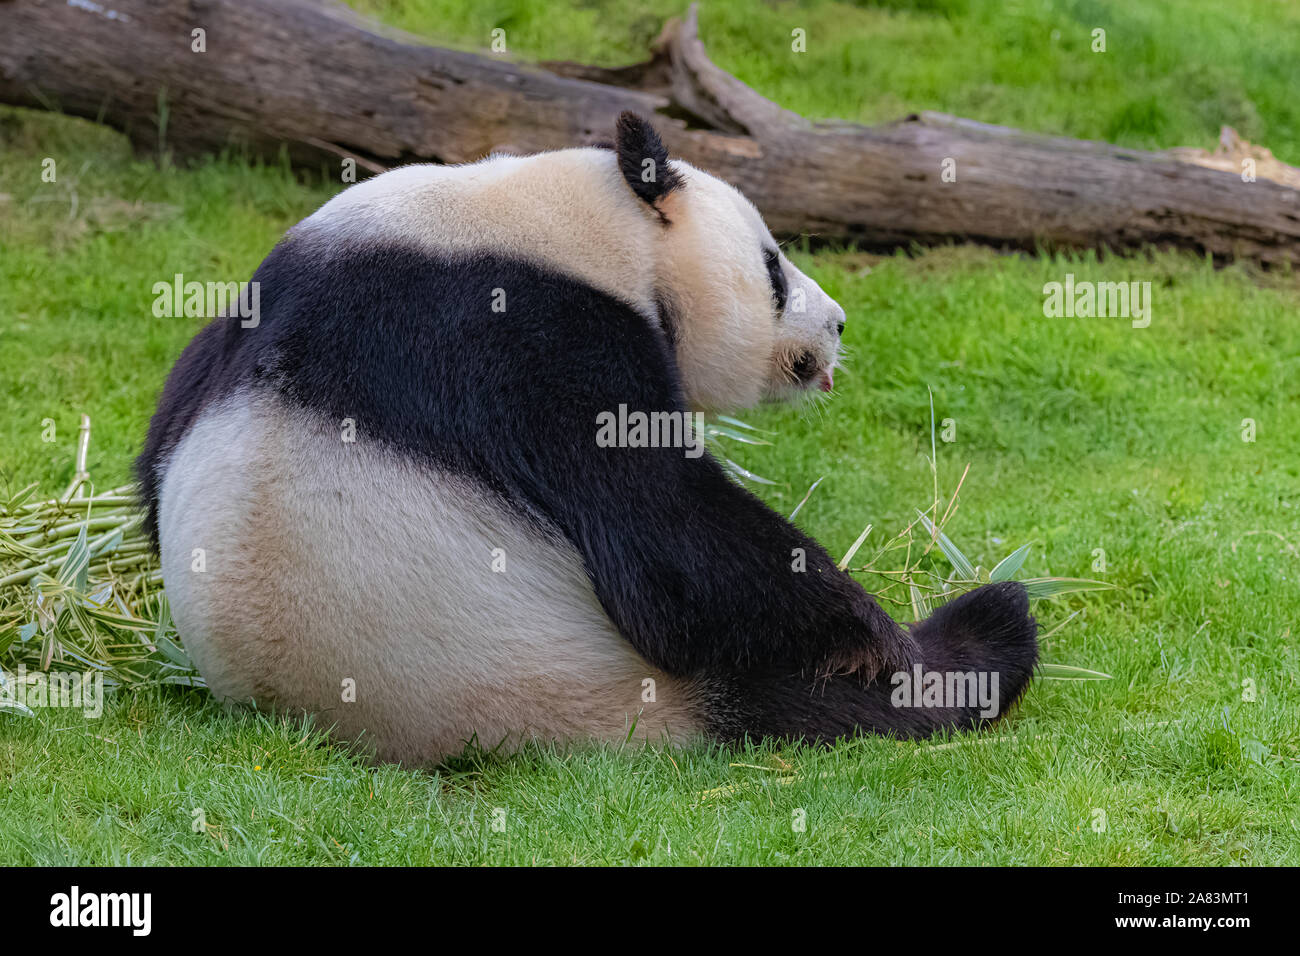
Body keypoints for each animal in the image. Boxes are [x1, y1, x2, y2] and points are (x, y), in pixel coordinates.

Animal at [138, 113, 1039, 764]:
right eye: (775, 269)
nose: (838, 323)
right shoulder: (535, 337)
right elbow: (665, 537)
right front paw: (874, 631)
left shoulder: (272, 289)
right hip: (617, 687)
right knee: (852, 690)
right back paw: (979, 633)